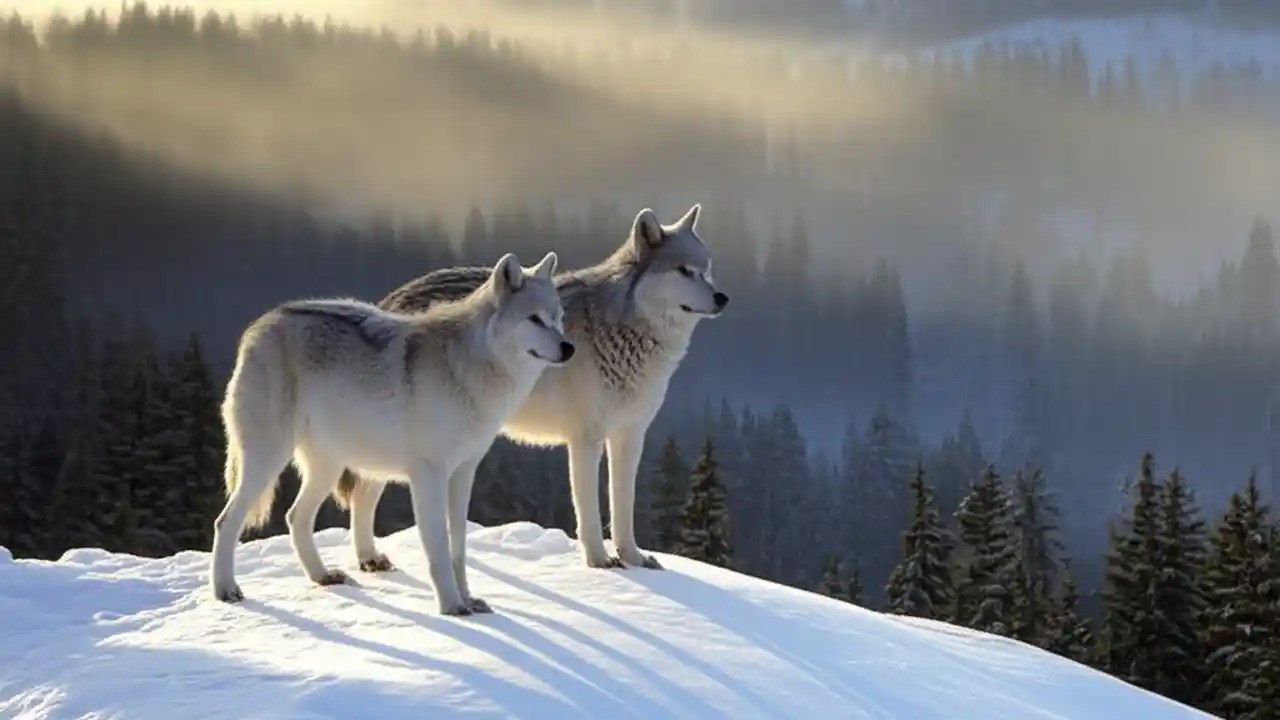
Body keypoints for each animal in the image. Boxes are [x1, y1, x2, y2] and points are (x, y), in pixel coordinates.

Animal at [210, 252, 570, 615]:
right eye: (534, 319)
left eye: (558, 318)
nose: (569, 348)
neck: (468, 366)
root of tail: (260, 325)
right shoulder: (429, 475)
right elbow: (438, 547)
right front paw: (451, 606)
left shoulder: (464, 473)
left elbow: (458, 545)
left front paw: (468, 600)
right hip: (267, 461)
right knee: (226, 521)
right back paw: (226, 590)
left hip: (327, 468)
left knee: (295, 516)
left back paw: (323, 576)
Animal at [337, 204, 728, 570]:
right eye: (684, 270)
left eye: (707, 269)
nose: (722, 298)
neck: (624, 329)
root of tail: (392, 299)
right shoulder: (585, 439)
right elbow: (588, 510)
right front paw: (600, 562)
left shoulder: (630, 436)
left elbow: (623, 507)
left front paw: (633, 558)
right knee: (362, 496)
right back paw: (369, 559)